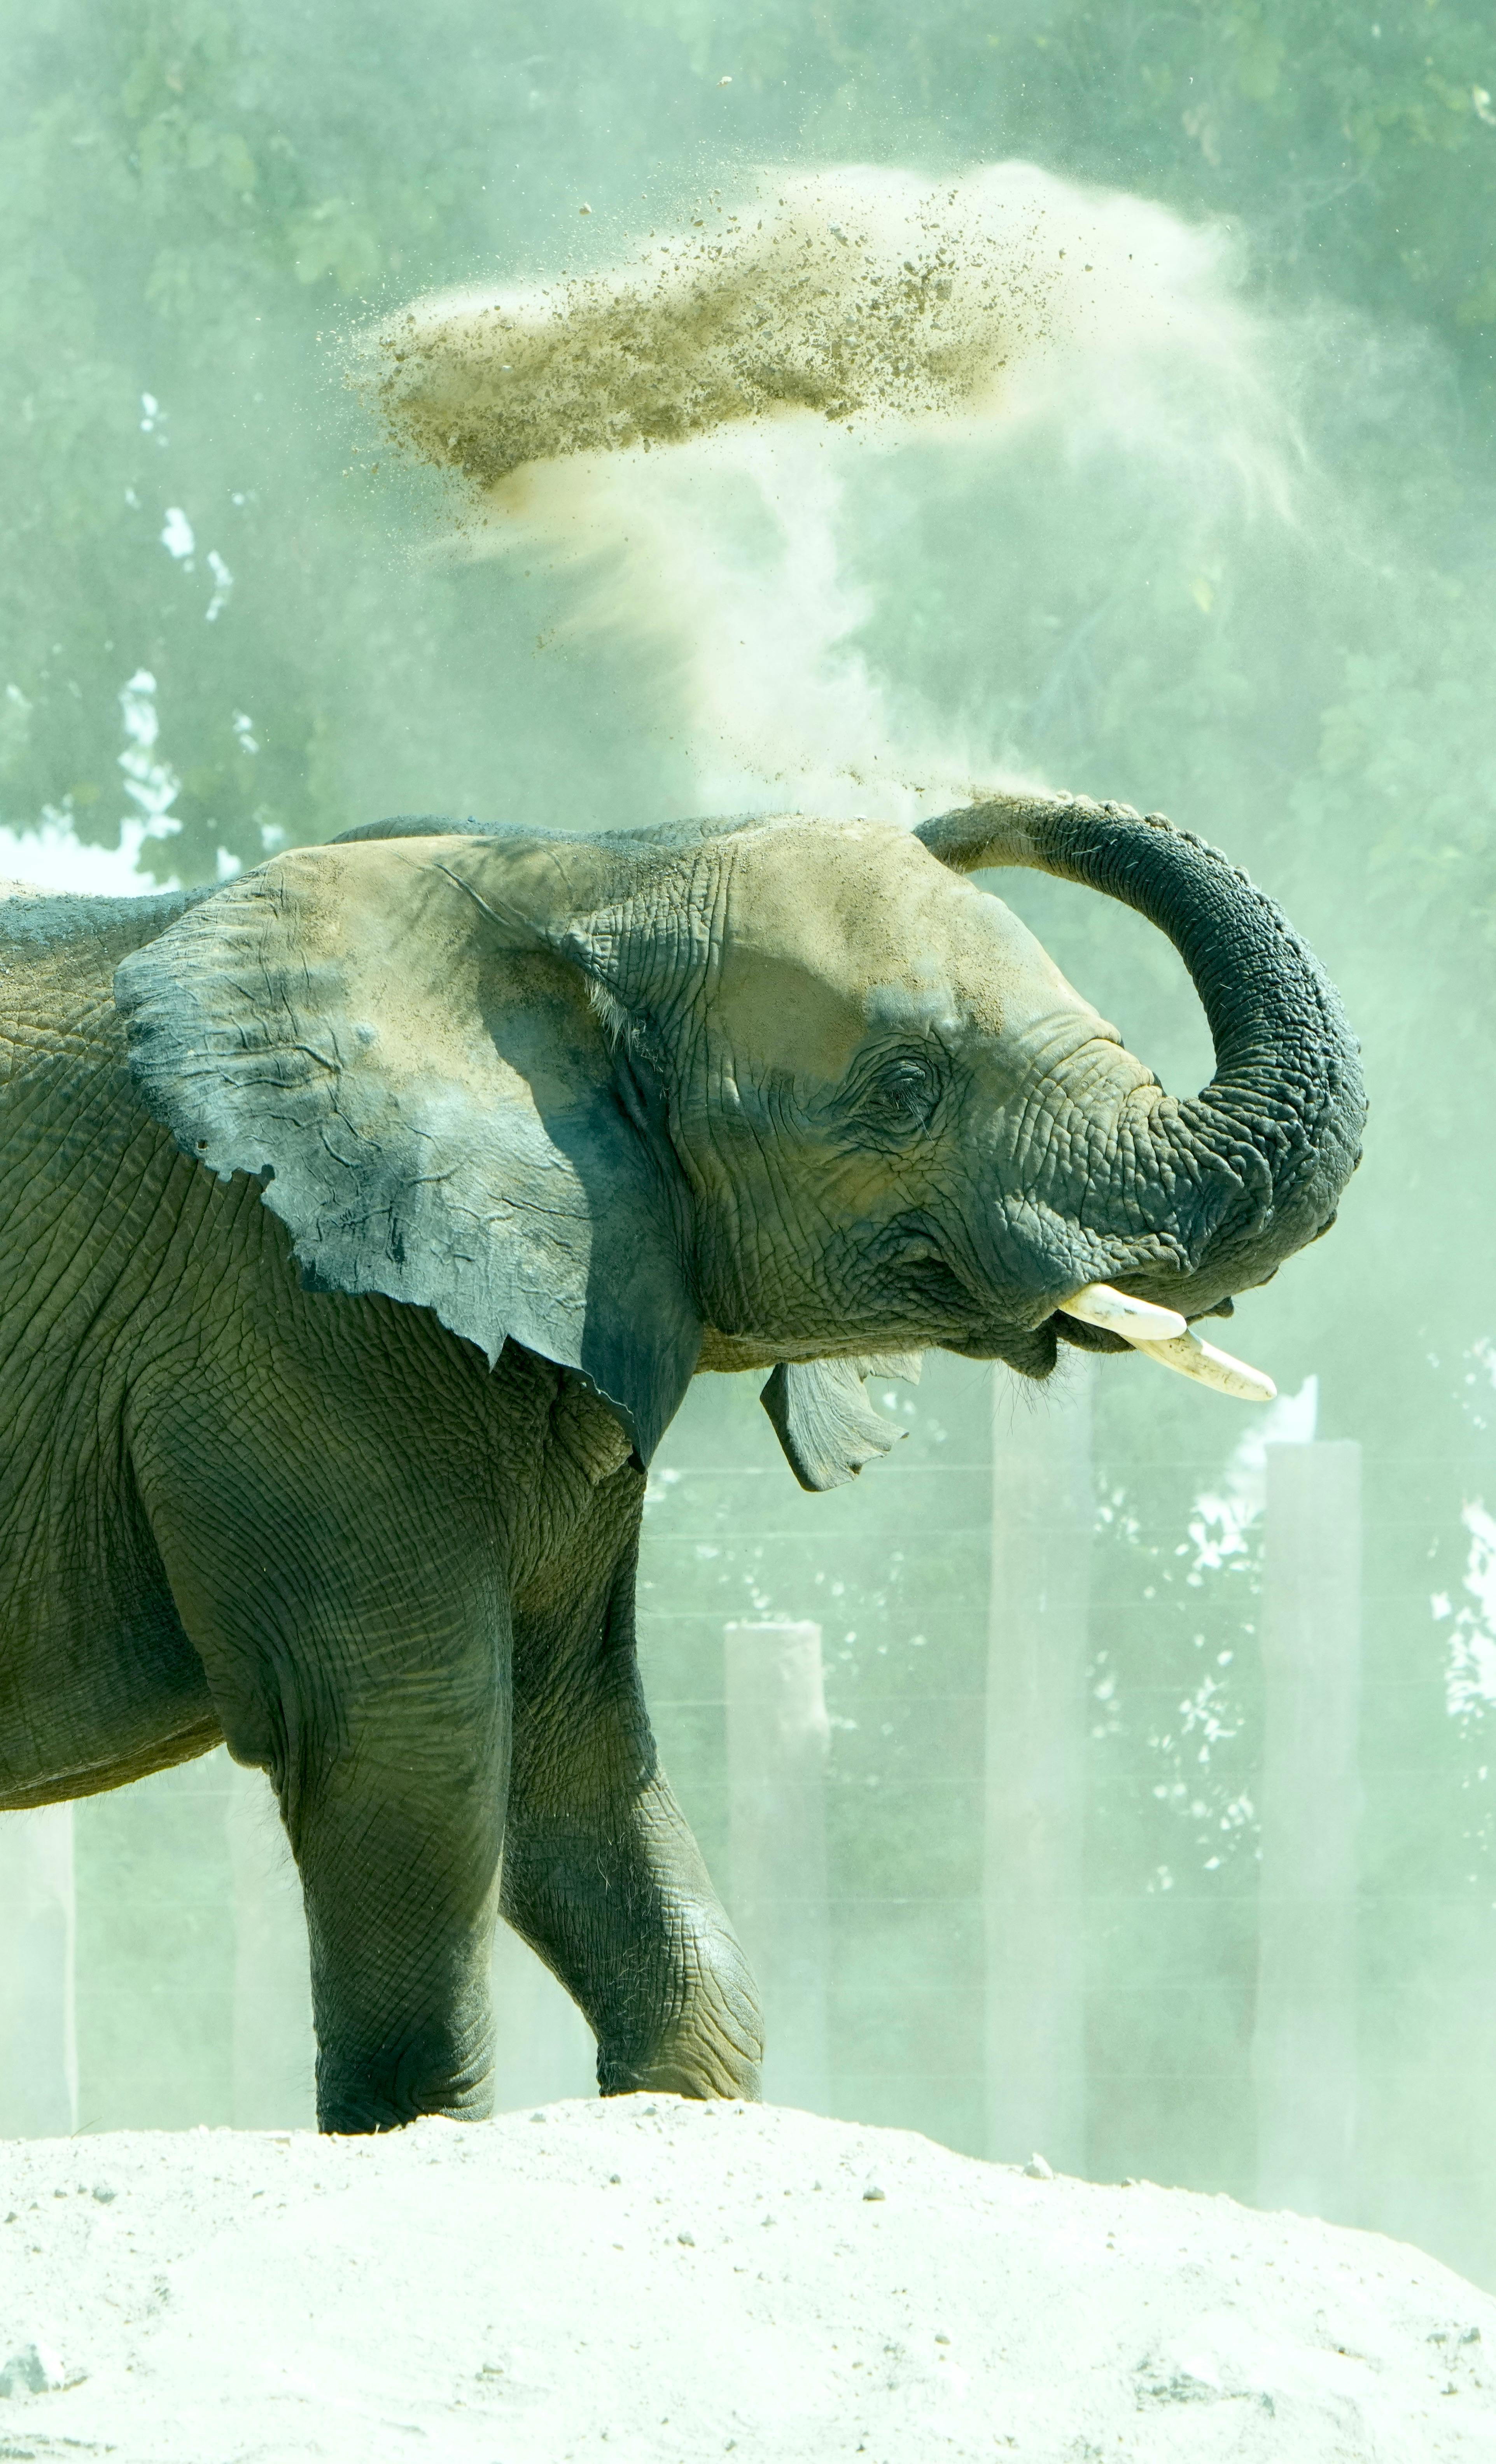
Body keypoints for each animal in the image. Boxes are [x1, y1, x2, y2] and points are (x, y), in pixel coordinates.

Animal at [0, 788, 1363, 2132]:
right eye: (903, 1089)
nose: (943, 804)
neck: (594, 872)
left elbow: (569, 1740)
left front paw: (678, 2092)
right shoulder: (291, 1308)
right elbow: (410, 1733)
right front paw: (416, 2125)